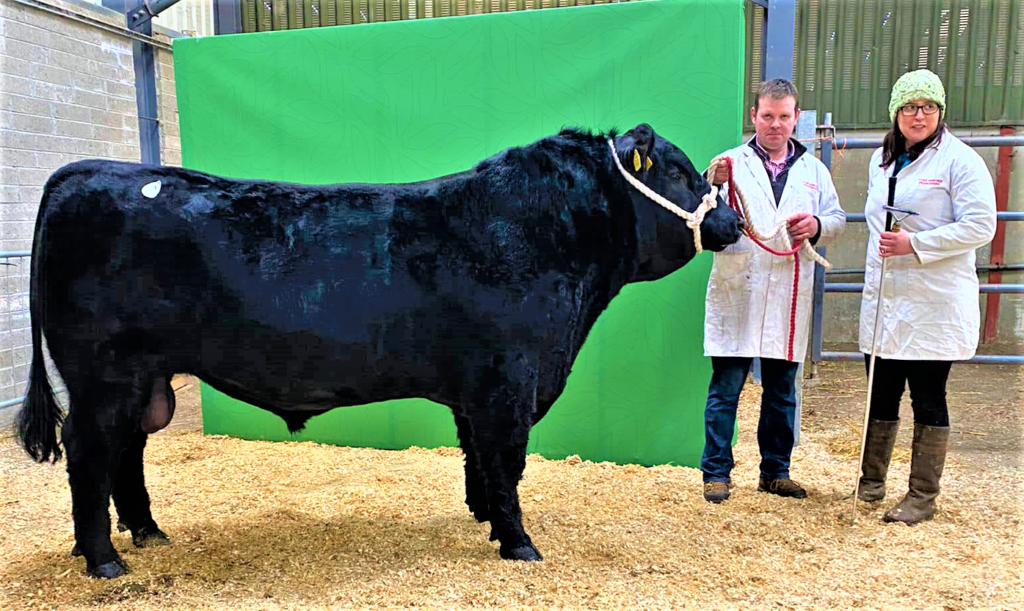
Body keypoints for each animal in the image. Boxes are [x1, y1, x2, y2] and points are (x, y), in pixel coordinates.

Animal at [17, 124, 742, 578]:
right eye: (679, 171)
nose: (732, 221)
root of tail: (87, 171)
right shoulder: (512, 379)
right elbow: (506, 461)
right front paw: (519, 544)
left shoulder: (476, 388)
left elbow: (479, 460)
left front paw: (483, 518)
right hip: (101, 374)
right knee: (89, 452)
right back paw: (103, 559)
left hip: (142, 376)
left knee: (128, 450)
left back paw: (147, 532)